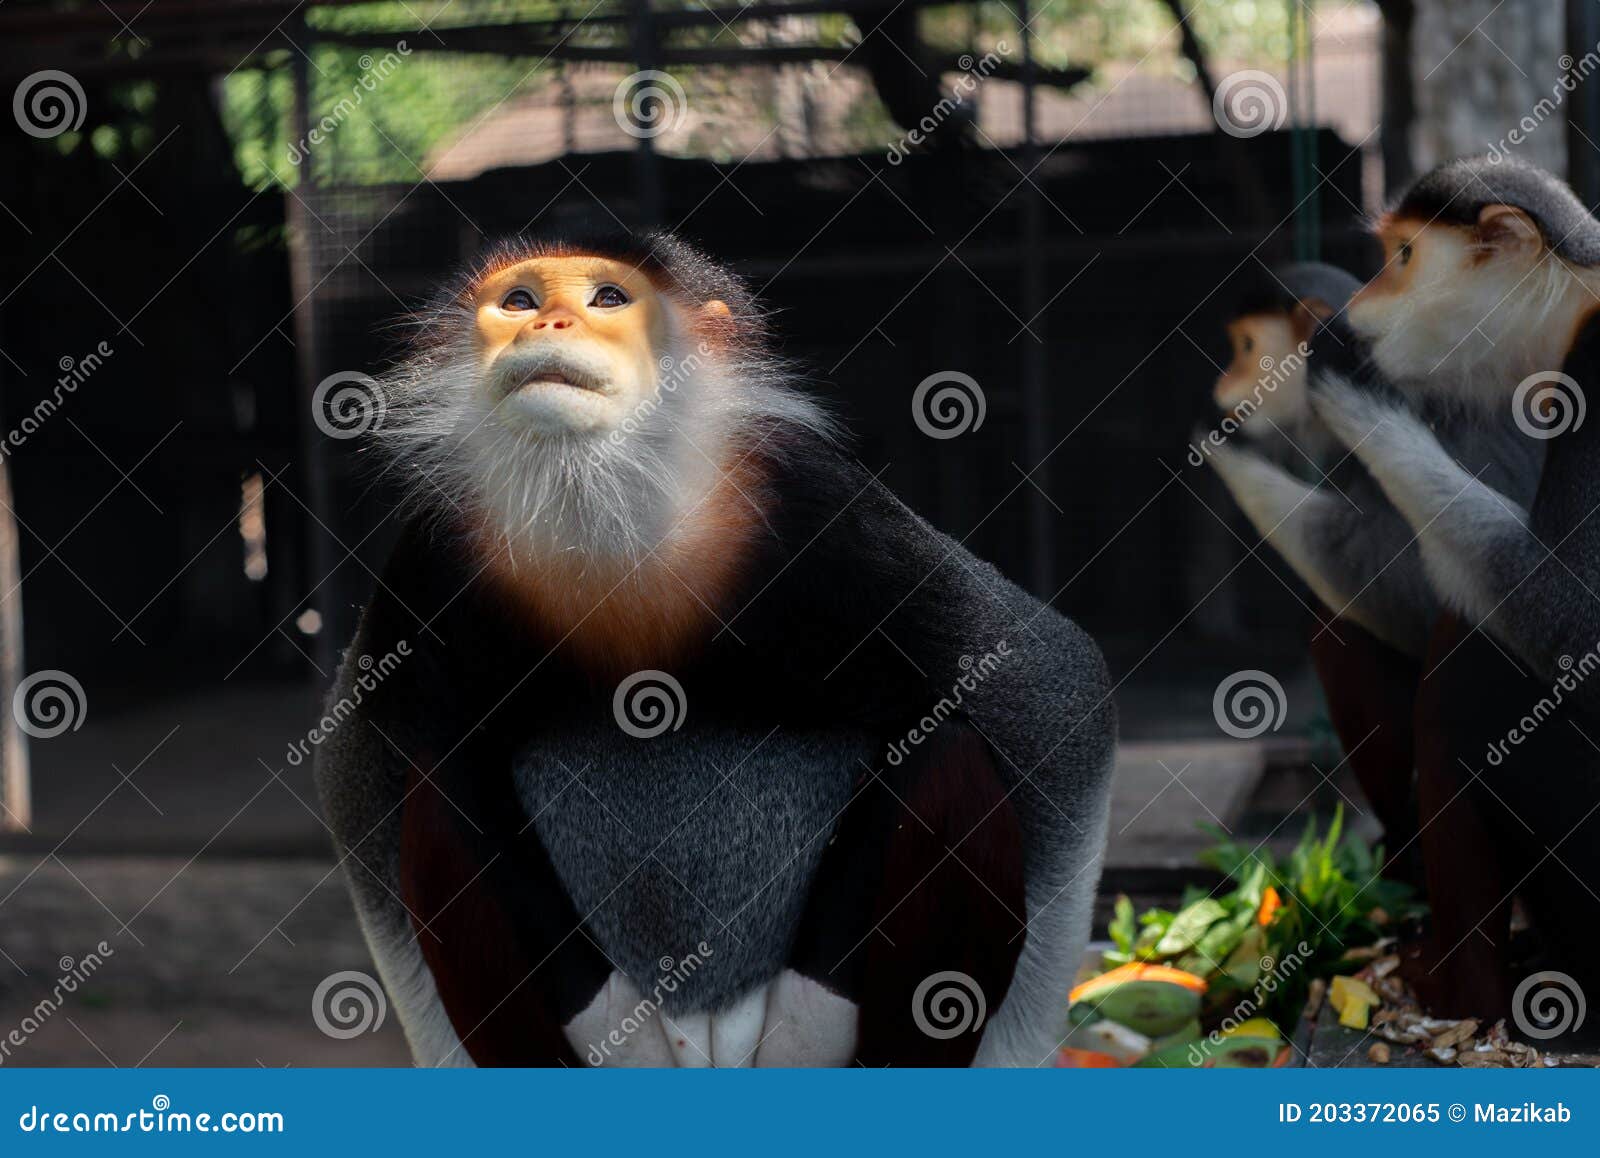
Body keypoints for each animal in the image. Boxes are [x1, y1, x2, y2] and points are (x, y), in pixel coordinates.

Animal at [313, 231, 1117, 1067]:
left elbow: (1054, 685)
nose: (545, 327)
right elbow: (355, 774)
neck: (602, 501)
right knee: (437, 773)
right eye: (519, 301)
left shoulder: (825, 508)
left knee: (948, 752)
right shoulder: (430, 556)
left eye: (607, 298)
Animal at [1305, 155, 1600, 1016]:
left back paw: (1461, 988)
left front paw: (1350, 386)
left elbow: (1577, 632)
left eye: (1403, 258)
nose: (1357, 307)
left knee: (1471, 663)